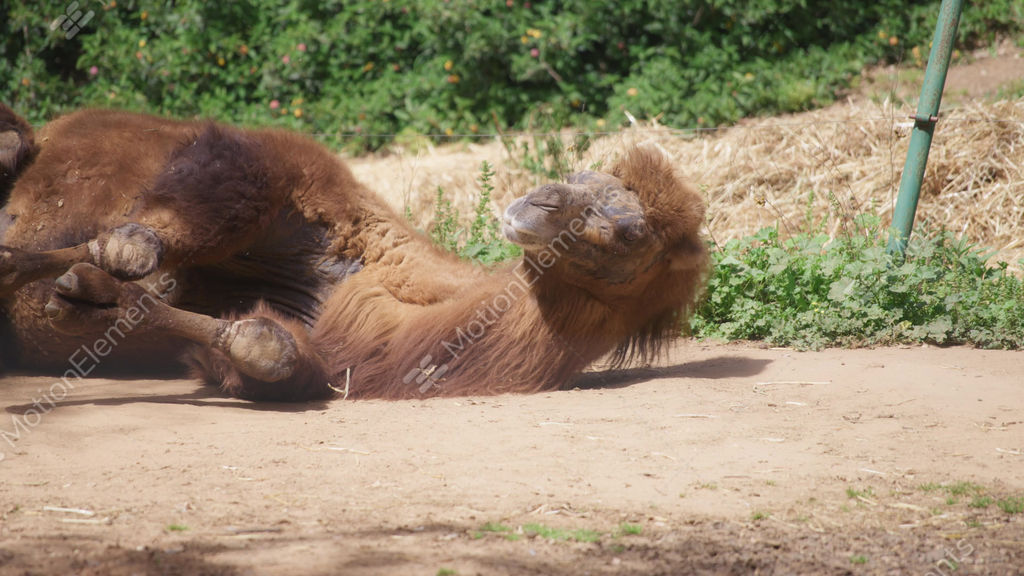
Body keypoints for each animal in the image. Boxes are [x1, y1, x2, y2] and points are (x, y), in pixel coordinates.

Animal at [0, 104, 709, 401]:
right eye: (588, 175)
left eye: (630, 234)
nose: (541, 201)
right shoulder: (287, 177)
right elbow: (157, 229)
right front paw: (90, 266)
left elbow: (265, 351)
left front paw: (88, 293)